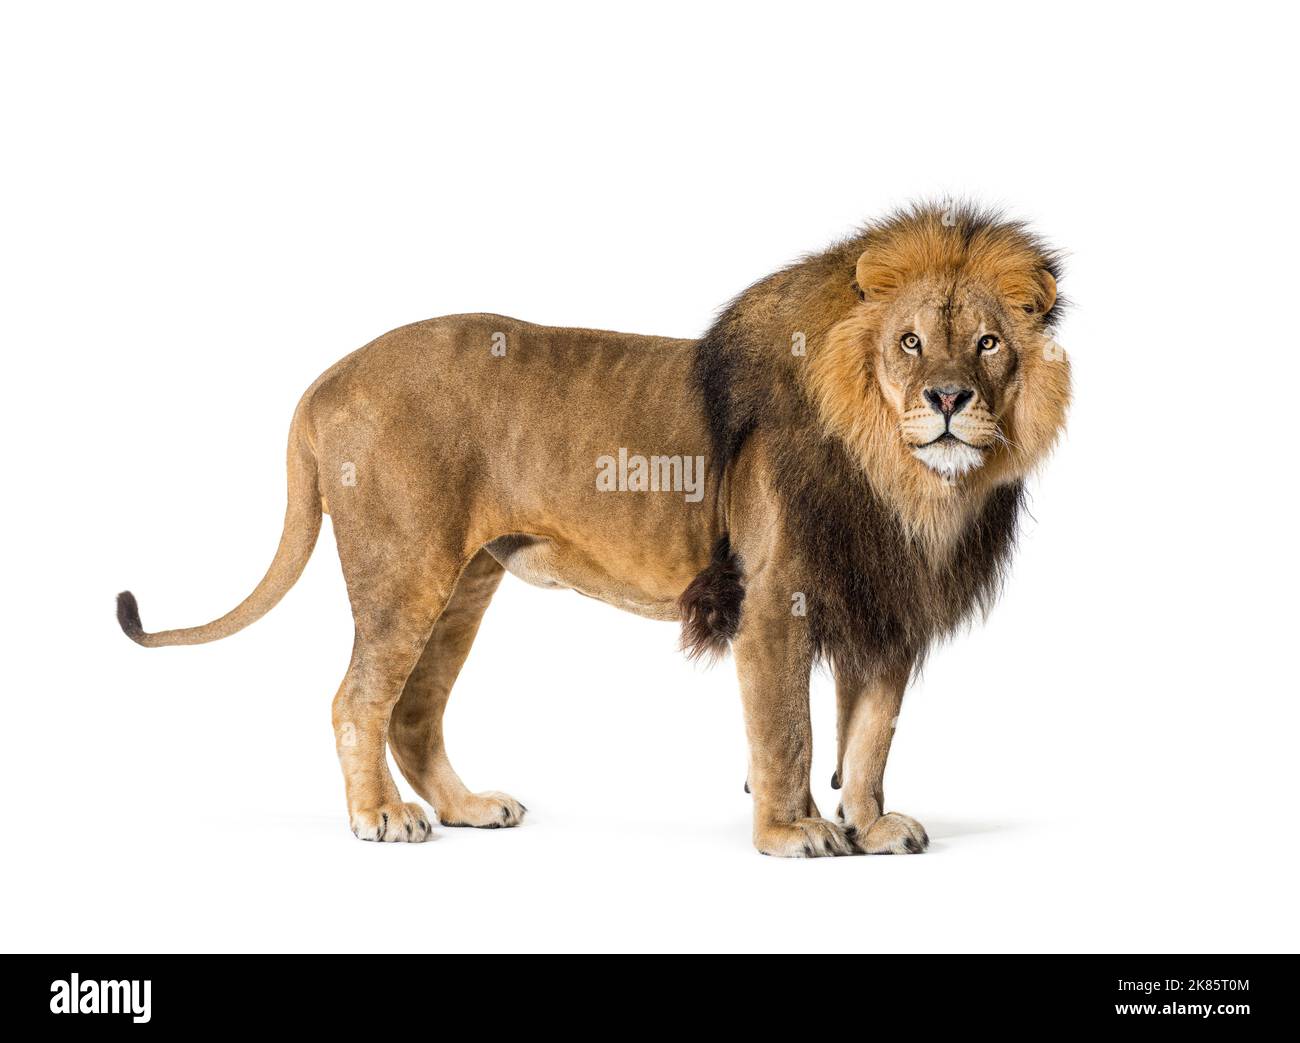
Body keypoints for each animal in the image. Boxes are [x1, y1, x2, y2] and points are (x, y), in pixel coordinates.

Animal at [117, 202, 1070, 856]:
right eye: (909, 342)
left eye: (987, 342)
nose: (947, 398)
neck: (905, 482)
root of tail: (326, 376)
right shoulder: (771, 600)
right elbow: (788, 730)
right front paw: (791, 832)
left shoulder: (890, 610)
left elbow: (870, 734)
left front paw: (870, 825)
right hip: (404, 568)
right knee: (357, 699)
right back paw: (380, 815)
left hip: (466, 580)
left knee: (413, 712)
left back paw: (467, 808)